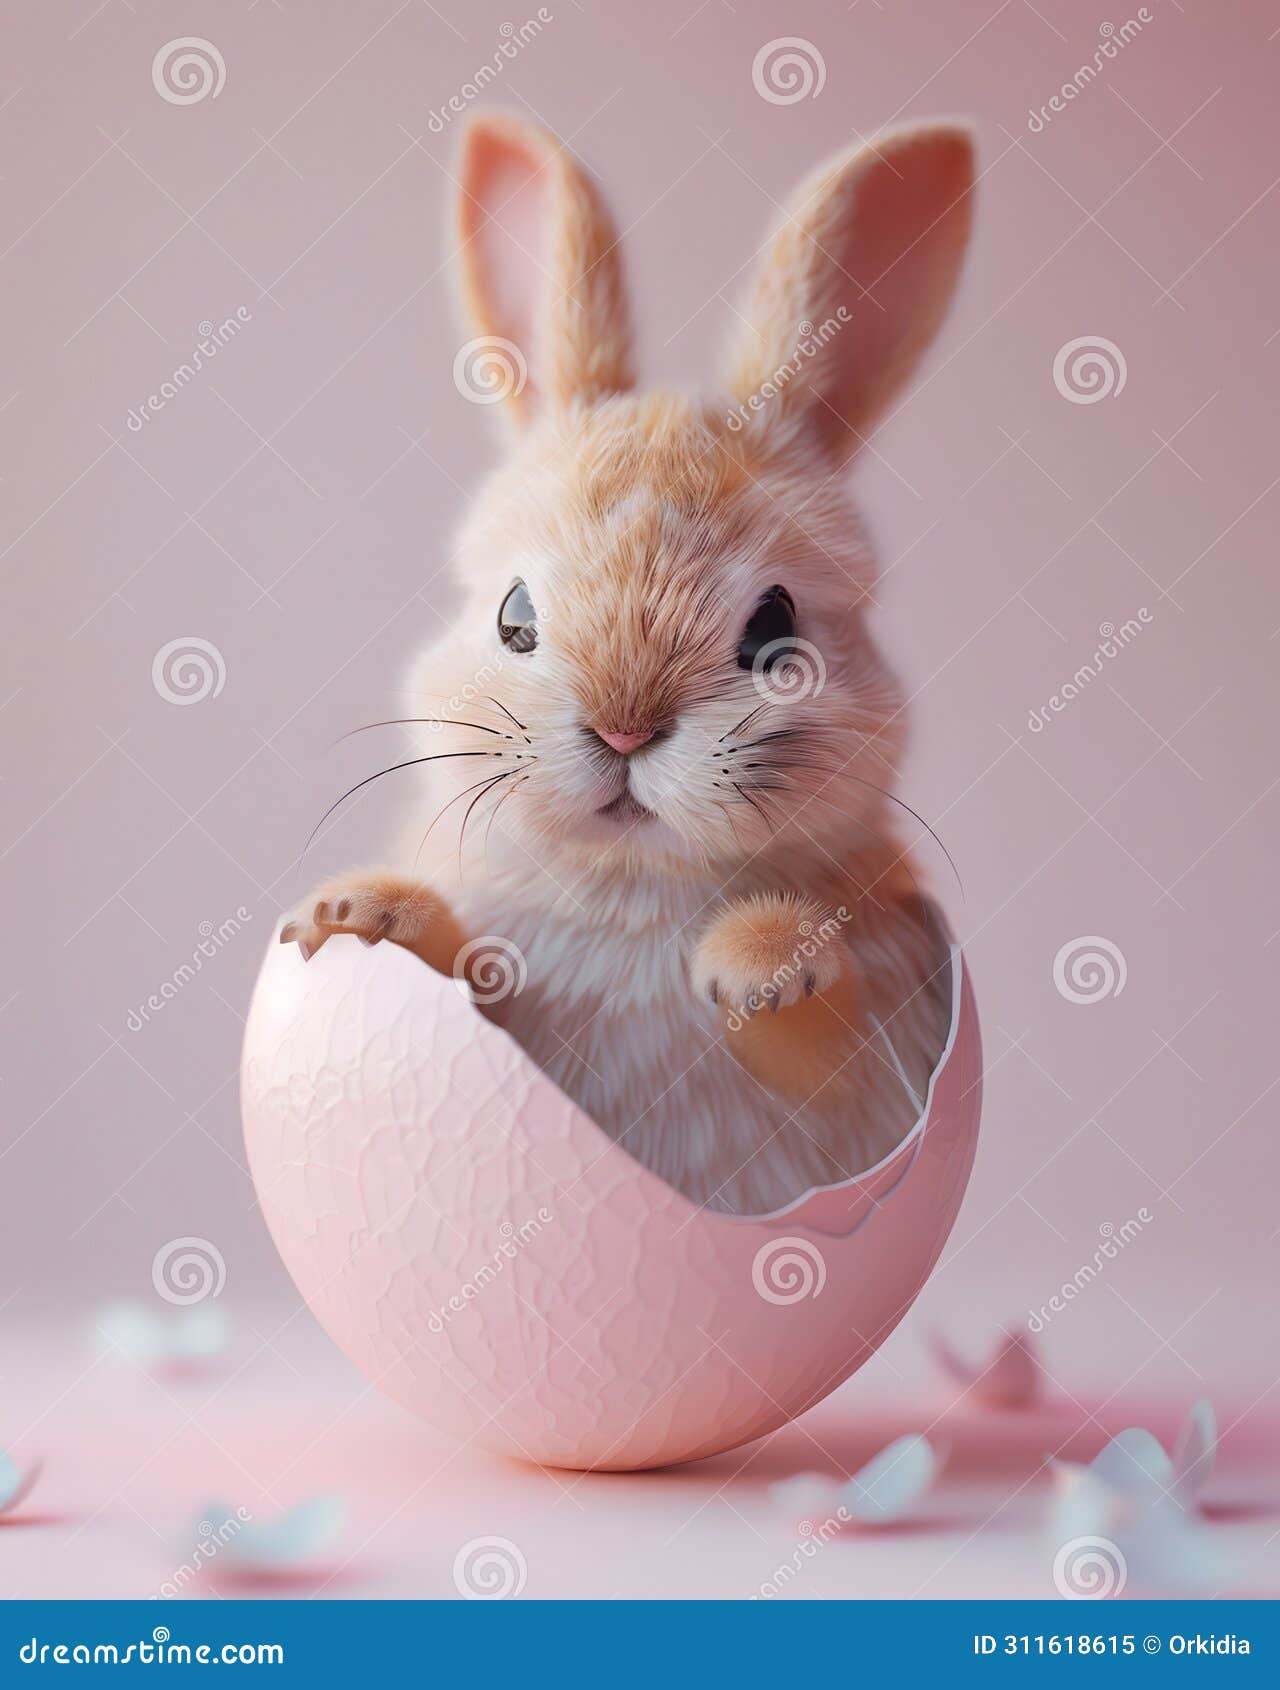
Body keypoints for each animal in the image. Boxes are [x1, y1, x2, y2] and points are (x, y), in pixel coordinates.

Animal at [281, 111, 975, 1216]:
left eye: (775, 628)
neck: (628, 880)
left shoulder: (866, 1063)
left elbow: (808, 1036)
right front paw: (358, 912)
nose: (624, 728)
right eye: (514, 614)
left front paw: (759, 967)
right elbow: (459, 967)